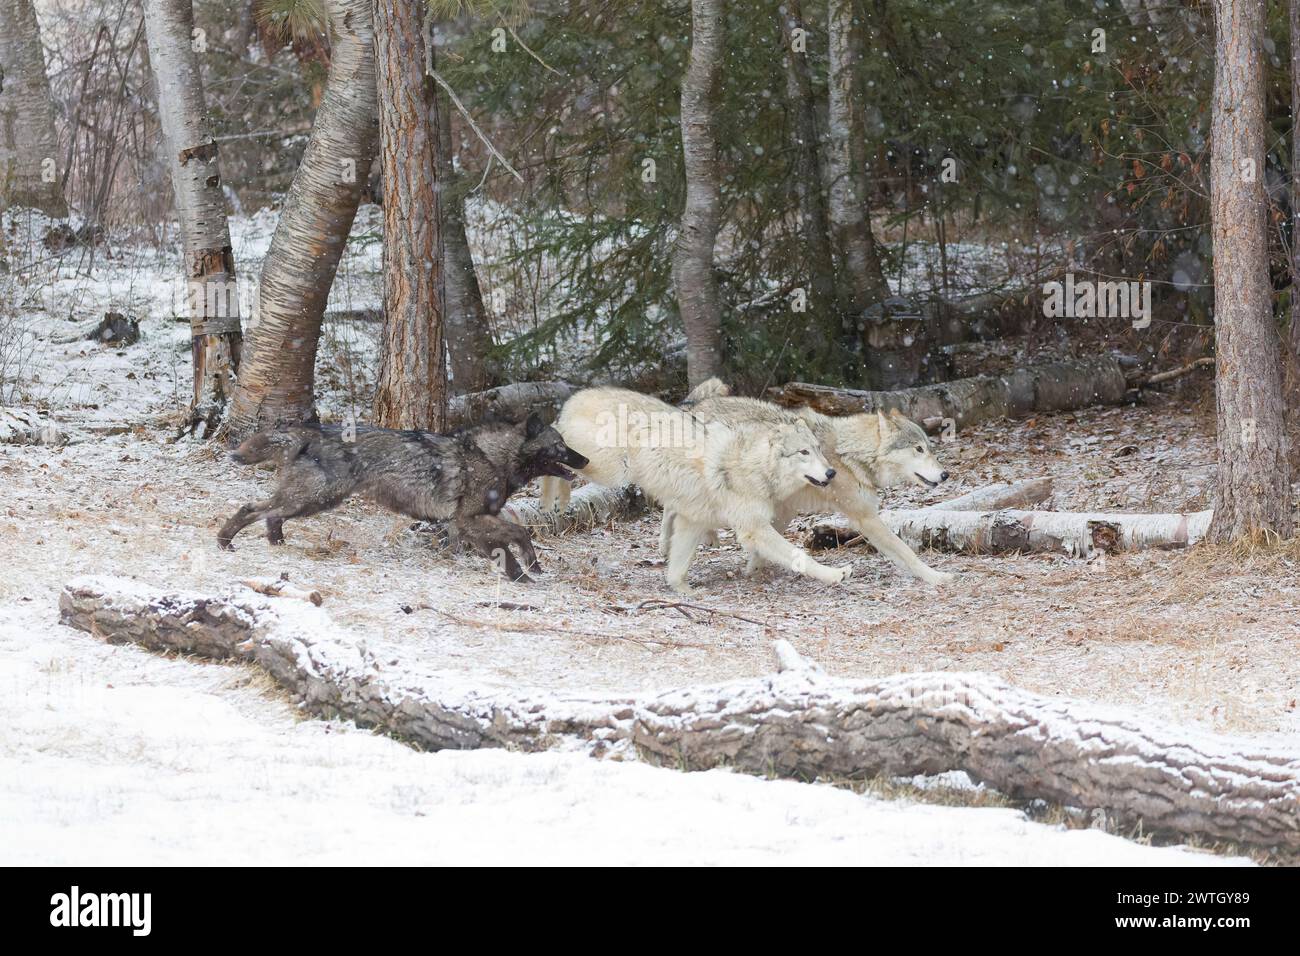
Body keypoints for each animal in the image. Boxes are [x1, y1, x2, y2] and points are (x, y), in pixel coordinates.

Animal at [218, 413, 589, 582]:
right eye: (560, 447)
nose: (585, 460)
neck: (491, 457)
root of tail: (310, 430)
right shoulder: (470, 520)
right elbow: (520, 533)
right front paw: (529, 571)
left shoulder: (470, 525)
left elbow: (505, 548)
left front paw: (522, 573)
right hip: (313, 500)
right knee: (252, 508)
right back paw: (225, 541)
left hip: (313, 502)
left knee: (270, 514)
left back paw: (275, 543)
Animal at [538, 386, 851, 594]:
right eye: (803, 452)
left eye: (818, 450)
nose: (831, 473)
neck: (753, 466)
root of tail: (578, 396)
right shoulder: (754, 529)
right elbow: (800, 556)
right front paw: (836, 574)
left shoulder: (693, 521)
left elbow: (678, 565)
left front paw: (682, 591)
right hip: (610, 469)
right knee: (558, 437)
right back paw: (552, 496)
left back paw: (555, 501)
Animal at [670, 378, 954, 586]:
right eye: (918, 449)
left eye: (929, 448)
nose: (945, 475)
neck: (848, 455)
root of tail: (691, 405)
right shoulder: (865, 517)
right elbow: (906, 551)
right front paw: (936, 577)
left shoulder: (786, 506)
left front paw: (755, 569)